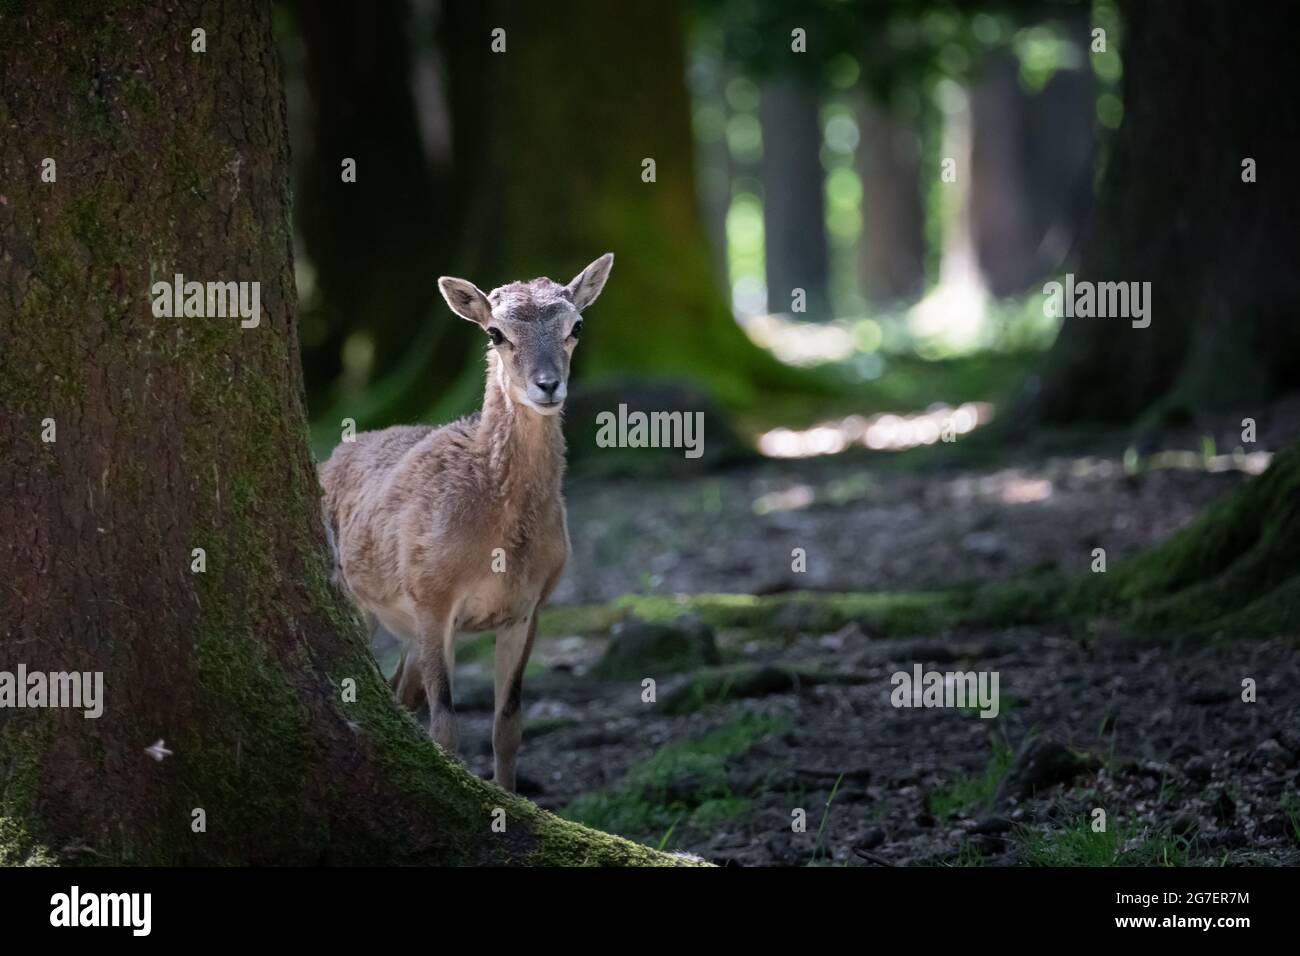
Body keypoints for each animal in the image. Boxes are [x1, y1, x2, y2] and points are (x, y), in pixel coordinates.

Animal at [319, 254, 613, 792]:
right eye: (495, 332)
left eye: (575, 325)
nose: (547, 385)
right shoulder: (431, 598)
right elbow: (445, 726)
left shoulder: (529, 607)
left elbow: (508, 725)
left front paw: (511, 796)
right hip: (361, 601)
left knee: (399, 691)